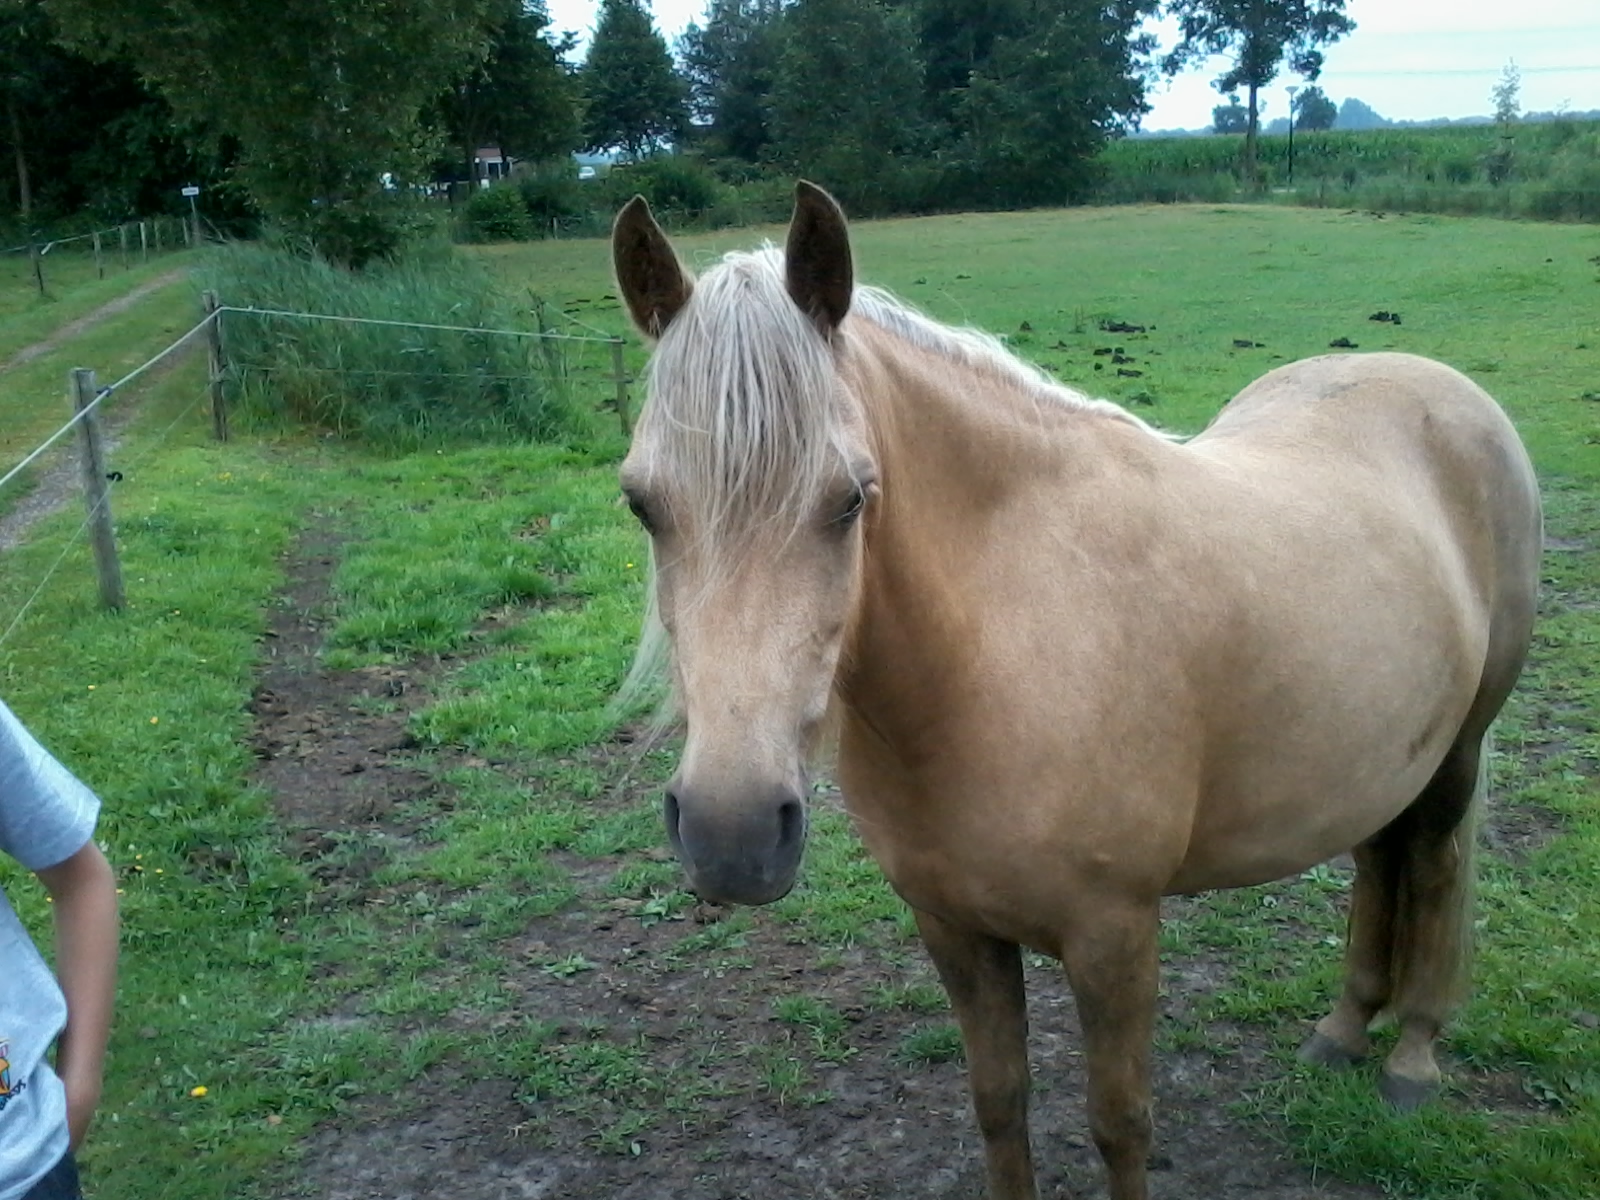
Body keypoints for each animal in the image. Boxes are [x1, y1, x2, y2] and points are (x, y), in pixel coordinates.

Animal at [609, 182, 1542, 1200]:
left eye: (851, 498)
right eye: (640, 503)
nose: (731, 835)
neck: (997, 663)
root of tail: (1438, 384)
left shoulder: (1115, 938)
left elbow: (1119, 1124)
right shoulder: (954, 929)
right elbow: (999, 1103)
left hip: (1457, 750)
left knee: (1435, 866)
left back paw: (1412, 1056)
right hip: (1377, 756)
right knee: (1380, 858)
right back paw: (1342, 1031)